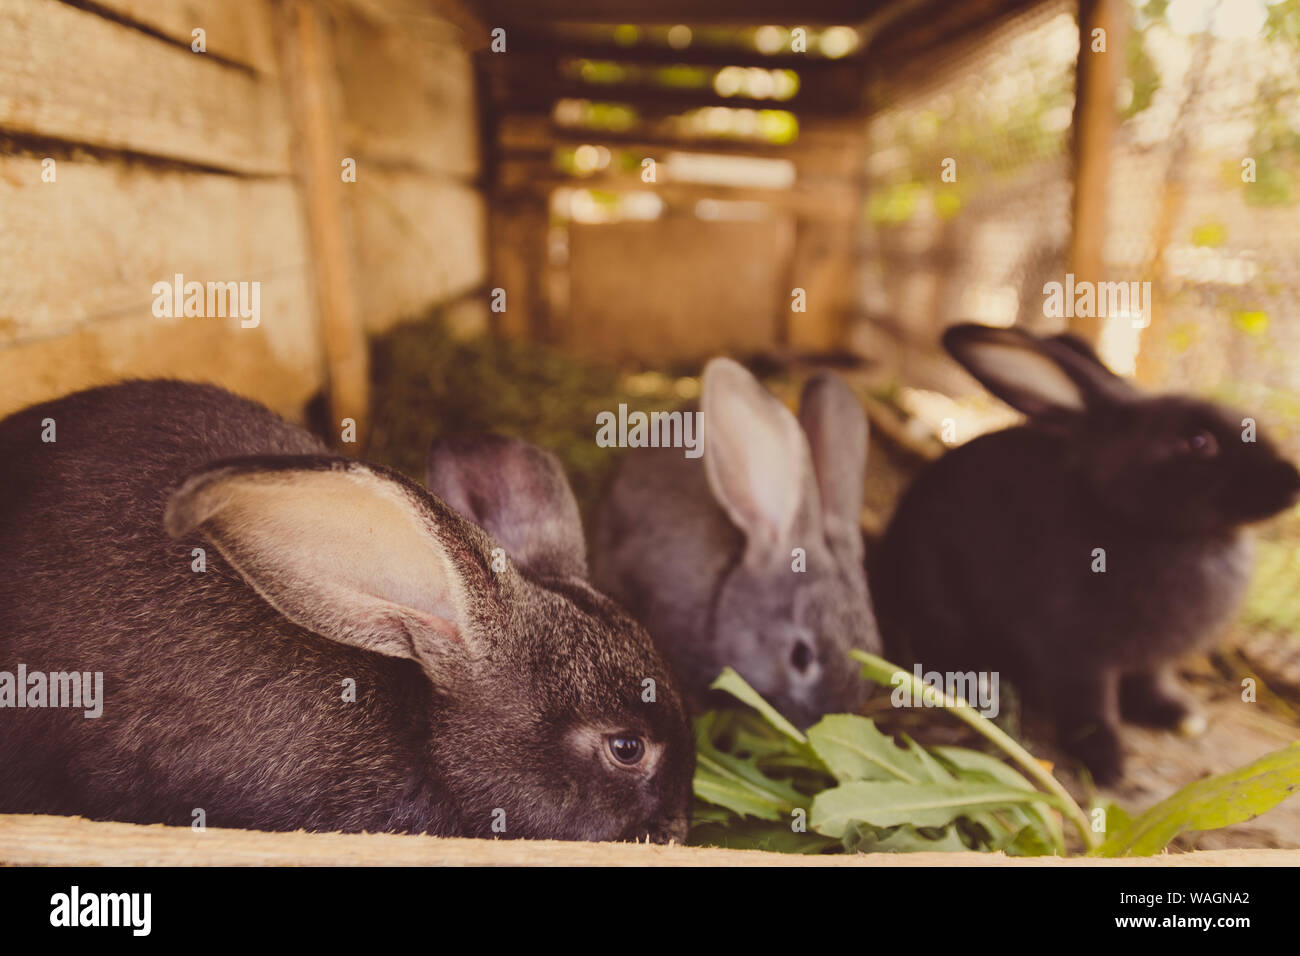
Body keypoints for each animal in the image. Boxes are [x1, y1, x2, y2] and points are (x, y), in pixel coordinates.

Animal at [873, 323, 1300, 784]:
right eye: (1198, 442)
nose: (1291, 479)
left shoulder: (1151, 660)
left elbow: (1150, 682)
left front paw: (1179, 715)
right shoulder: (1077, 653)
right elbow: (1090, 705)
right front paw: (1108, 763)